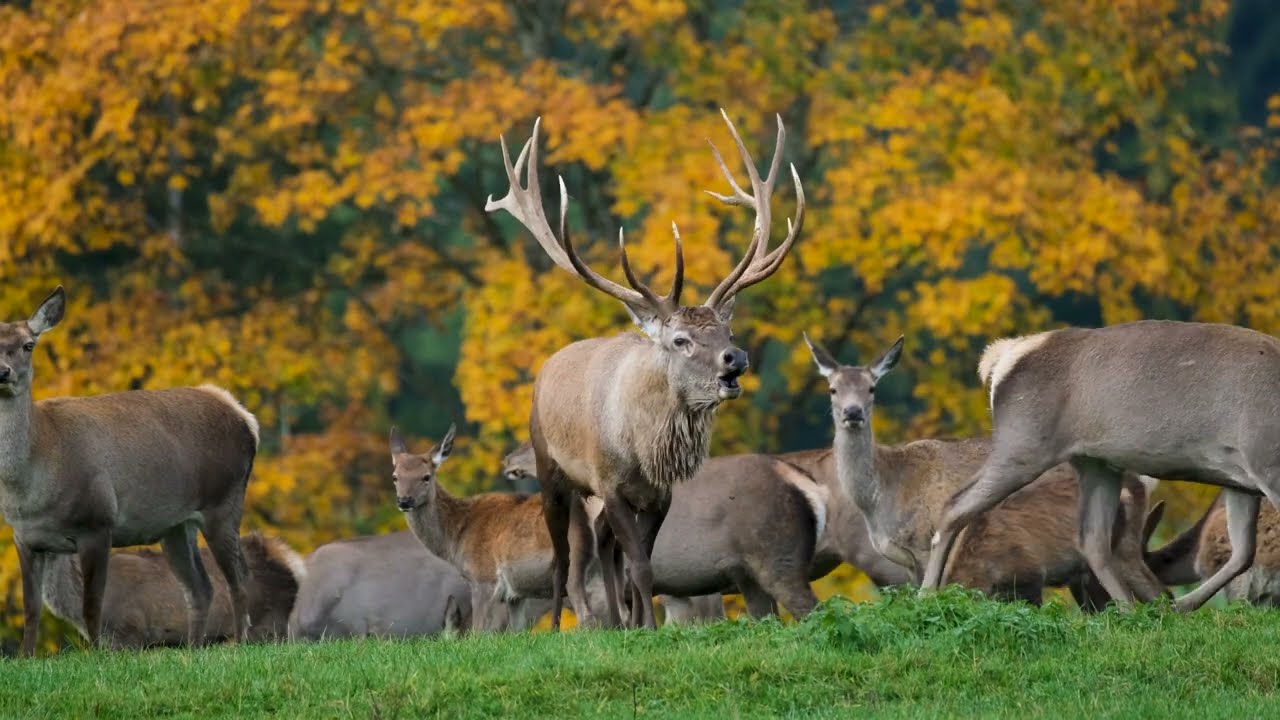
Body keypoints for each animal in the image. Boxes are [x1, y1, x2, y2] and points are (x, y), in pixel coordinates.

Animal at [0, 286, 259, 656]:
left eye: (28, 345)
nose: (3, 372)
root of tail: (243, 416)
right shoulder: (24, 537)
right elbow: (31, 610)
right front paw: (26, 657)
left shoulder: (97, 522)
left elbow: (92, 605)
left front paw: (96, 655)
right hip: (175, 525)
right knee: (201, 587)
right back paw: (194, 650)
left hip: (224, 503)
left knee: (238, 581)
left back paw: (239, 645)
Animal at [804, 333, 1166, 607]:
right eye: (833, 389)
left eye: (872, 388)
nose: (852, 413)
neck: (883, 497)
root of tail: (1142, 481)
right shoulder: (902, 561)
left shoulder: (924, 543)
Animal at [917, 321, 1280, 611]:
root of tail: (1002, 358)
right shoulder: (1266, 463)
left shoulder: (1239, 481)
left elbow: (1243, 553)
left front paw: (1183, 605)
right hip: (1023, 443)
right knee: (954, 505)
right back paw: (925, 594)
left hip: (1096, 464)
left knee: (1092, 538)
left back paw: (1135, 611)